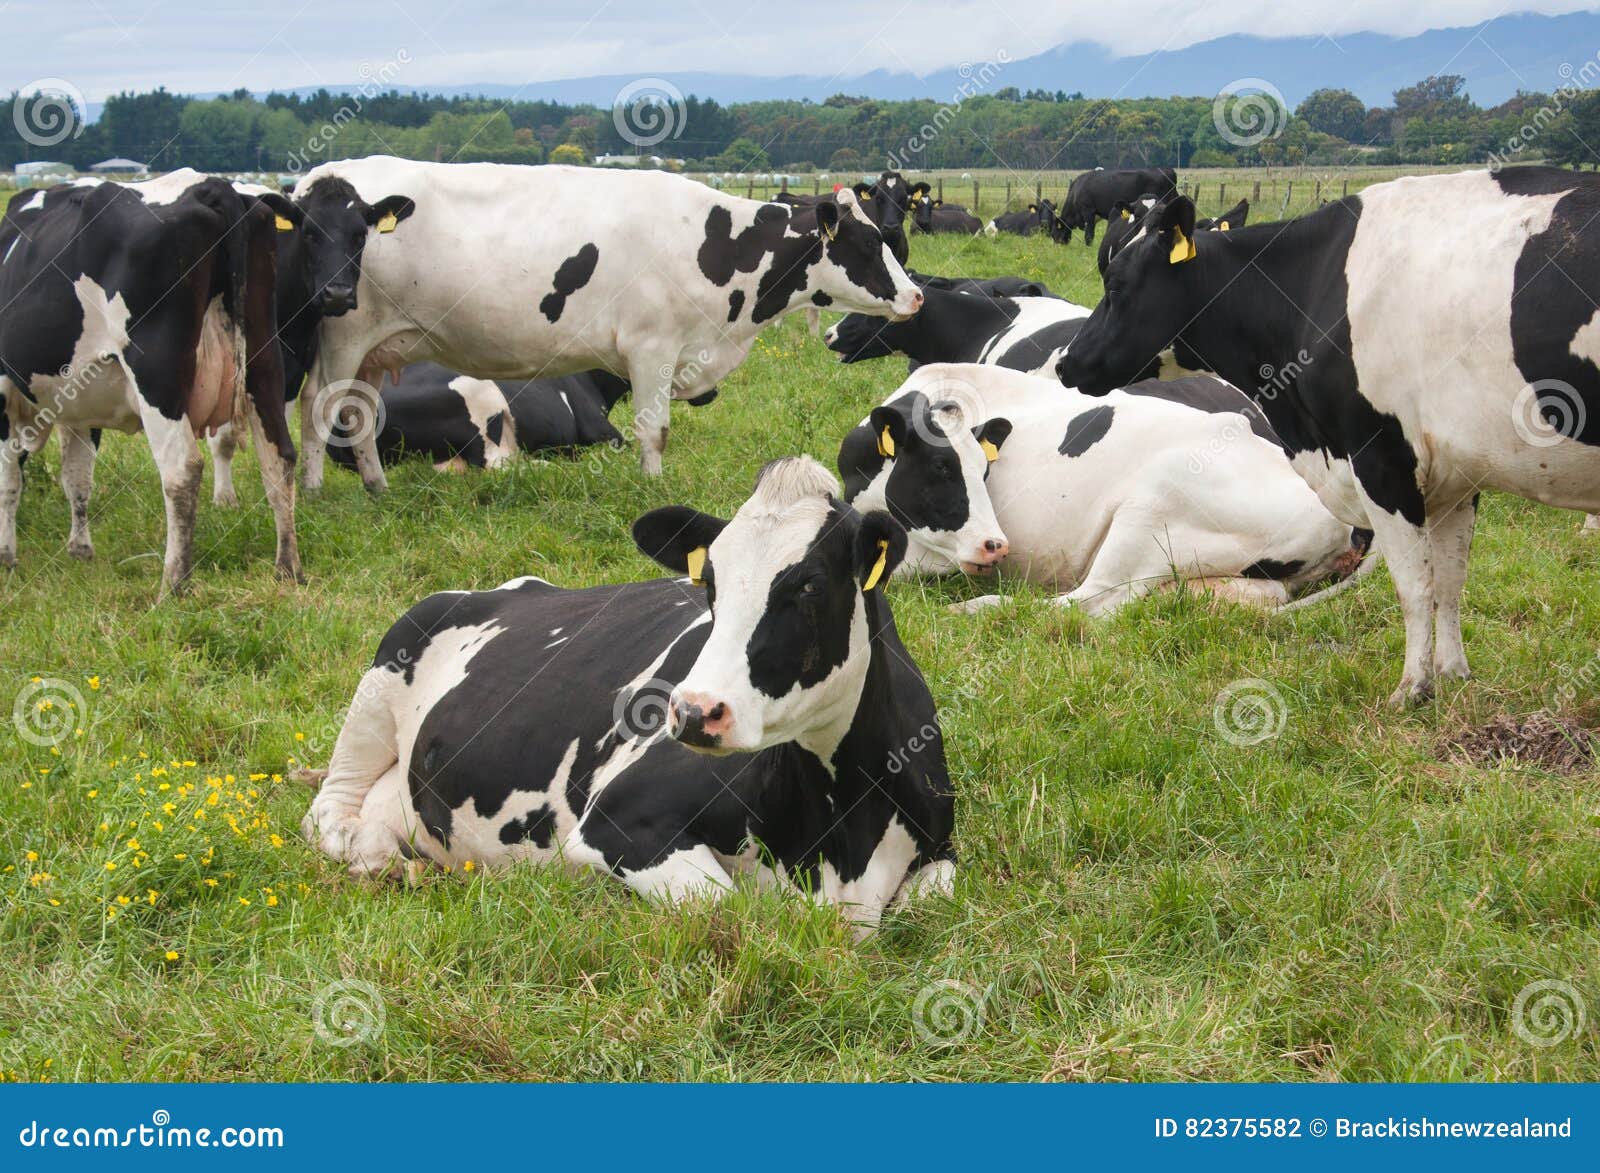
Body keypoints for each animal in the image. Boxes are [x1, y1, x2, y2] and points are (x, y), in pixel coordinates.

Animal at [0, 170, 300, 593]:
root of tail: (208, 185)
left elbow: (9, 479)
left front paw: (7, 557)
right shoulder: (78, 406)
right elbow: (76, 476)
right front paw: (80, 551)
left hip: (157, 373)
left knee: (182, 470)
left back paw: (173, 585)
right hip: (264, 358)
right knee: (278, 457)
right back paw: (288, 568)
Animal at [301, 456, 954, 934]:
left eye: (811, 584)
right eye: (708, 581)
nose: (693, 712)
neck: (837, 838)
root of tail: (504, 588)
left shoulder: (941, 847)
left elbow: (934, 898)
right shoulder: (618, 821)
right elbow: (736, 910)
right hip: (384, 675)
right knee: (328, 808)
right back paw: (377, 858)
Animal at [839, 364, 1368, 615]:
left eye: (982, 472)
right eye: (941, 468)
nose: (995, 545)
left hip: (1150, 509)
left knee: (1085, 604)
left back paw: (975, 609)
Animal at [1055, 167, 1600, 704]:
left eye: (1116, 284)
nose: (1064, 362)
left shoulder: (1381, 458)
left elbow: (1414, 585)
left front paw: (1412, 688)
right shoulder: (1456, 474)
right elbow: (1449, 580)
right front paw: (1453, 675)